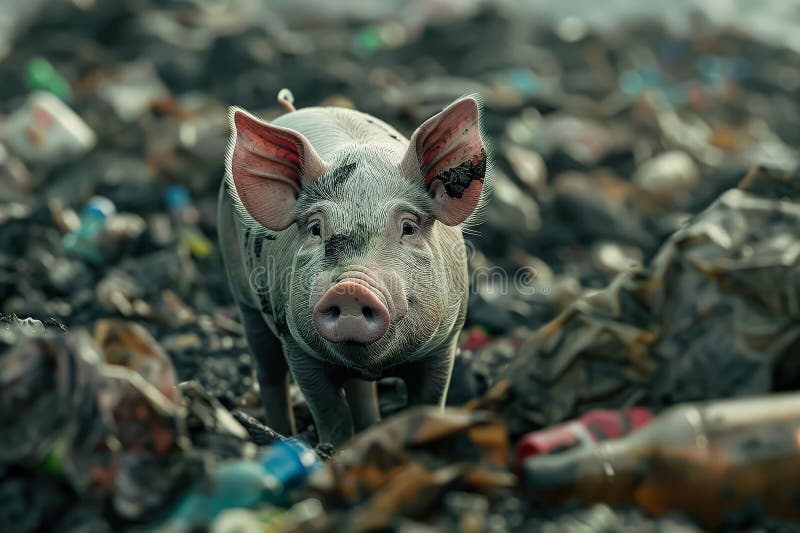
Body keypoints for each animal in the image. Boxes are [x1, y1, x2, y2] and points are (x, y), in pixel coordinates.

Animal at [217, 90, 489, 446]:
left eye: (408, 227)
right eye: (316, 228)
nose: (350, 289)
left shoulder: (445, 341)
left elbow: (428, 401)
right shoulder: (298, 346)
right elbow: (330, 411)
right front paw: (333, 450)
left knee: (359, 389)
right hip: (245, 300)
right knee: (269, 370)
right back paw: (281, 436)